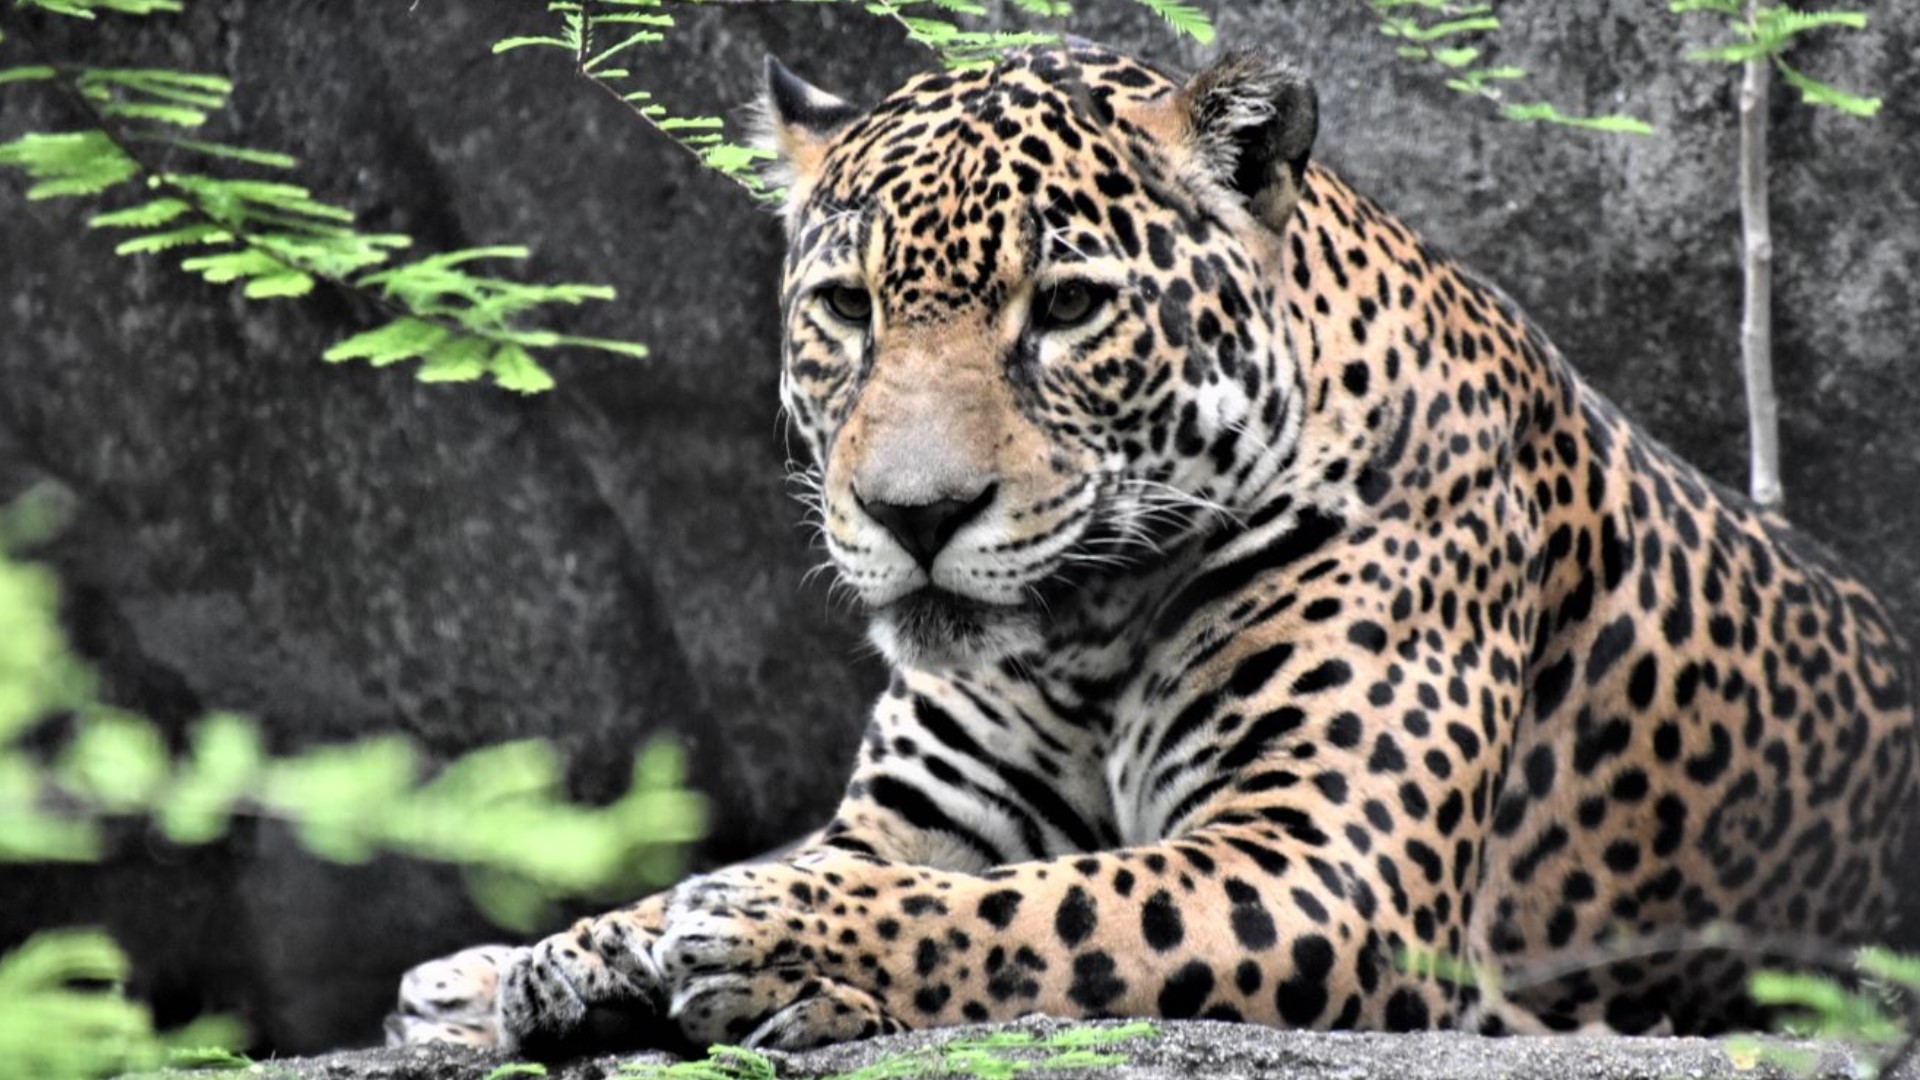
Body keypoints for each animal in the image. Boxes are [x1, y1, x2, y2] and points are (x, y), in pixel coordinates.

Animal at [387, 42, 1917, 1053]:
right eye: (845, 306)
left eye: (1066, 307)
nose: (914, 515)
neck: (1085, 635)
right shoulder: (915, 814)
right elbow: (866, 867)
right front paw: (562, 957)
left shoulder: (1325, 864)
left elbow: (1047, 913)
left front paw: (770, 936)